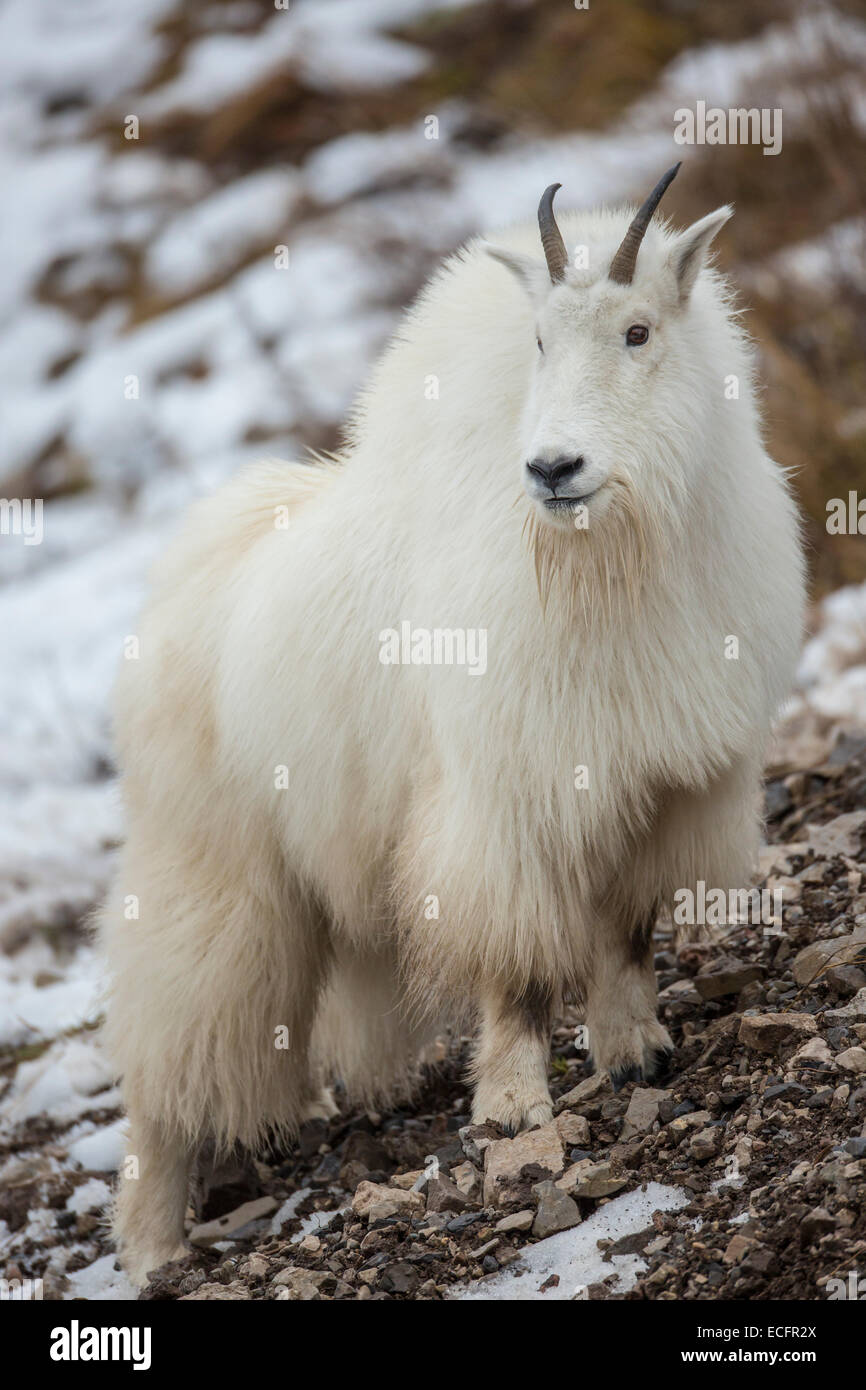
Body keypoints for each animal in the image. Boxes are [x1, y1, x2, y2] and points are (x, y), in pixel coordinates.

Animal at [97, 165, 805, 1284]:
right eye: (539, 341)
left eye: (638, 330)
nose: (554, 468)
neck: (614, 558)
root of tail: (178, 591)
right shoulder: (502, 797)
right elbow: (513, 968)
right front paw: (512, 1107)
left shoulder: (663, 782)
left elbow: (628, 928)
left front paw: (636, 1051)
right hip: (211, 871)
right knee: (169, 1049)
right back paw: (153, 1240)